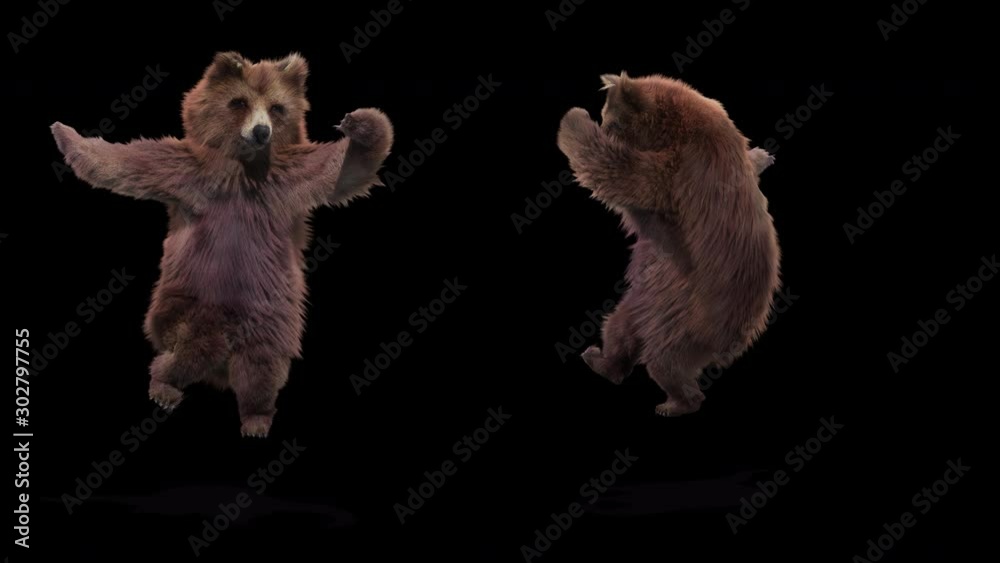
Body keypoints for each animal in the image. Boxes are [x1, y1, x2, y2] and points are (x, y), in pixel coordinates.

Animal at [50, 51, 394, 437]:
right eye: (239, 102)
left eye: (277, 107)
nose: (261, 132)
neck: (243, 166)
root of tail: (222, 369)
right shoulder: (188, 173)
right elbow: (125, 163)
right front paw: (64, 131)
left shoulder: (287, 179)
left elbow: (343, 171)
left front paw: (362, 125)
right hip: (188, 303)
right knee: (193, 347)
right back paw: (164, 384)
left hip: (270, 320)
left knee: (261, 367)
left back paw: (256, 417)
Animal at [557, 72, 780, 416]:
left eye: (610, 120)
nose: (603, 125)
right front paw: (762, 155)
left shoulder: (681, 169)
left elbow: (623, 172)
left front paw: (574, 118)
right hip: (644, 299)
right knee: (619, 328)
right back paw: (599, 360)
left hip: (683, 316)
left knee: (665, 361)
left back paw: (674, 403)